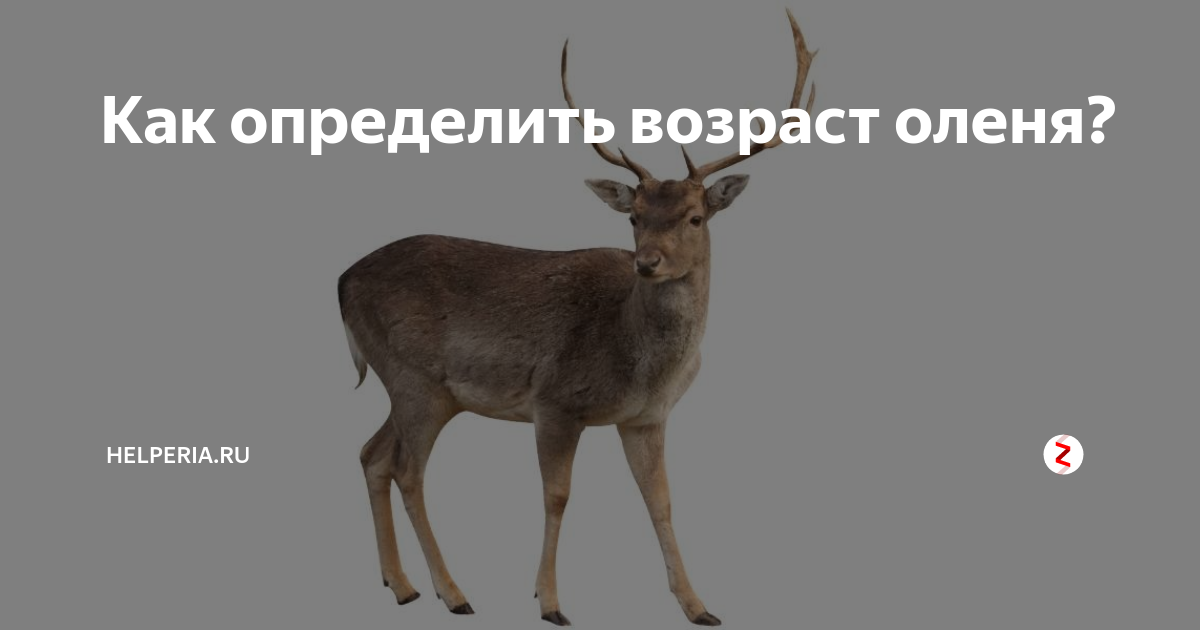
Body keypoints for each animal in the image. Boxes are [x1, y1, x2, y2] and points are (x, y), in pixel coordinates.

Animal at [338, 8, 816, 626]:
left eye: (694, 217)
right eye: (634, 217)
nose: (647, 262)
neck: (639, 360)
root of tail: (341, 281)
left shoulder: (646, 417)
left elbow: (661, 500)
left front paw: (699, 606)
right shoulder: (555, 401)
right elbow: (557, 496)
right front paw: (550, 603)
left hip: (421, 390)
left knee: (372, 455)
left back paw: (402, 585)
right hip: (414, 378)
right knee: (406, 470)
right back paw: (453, 592)